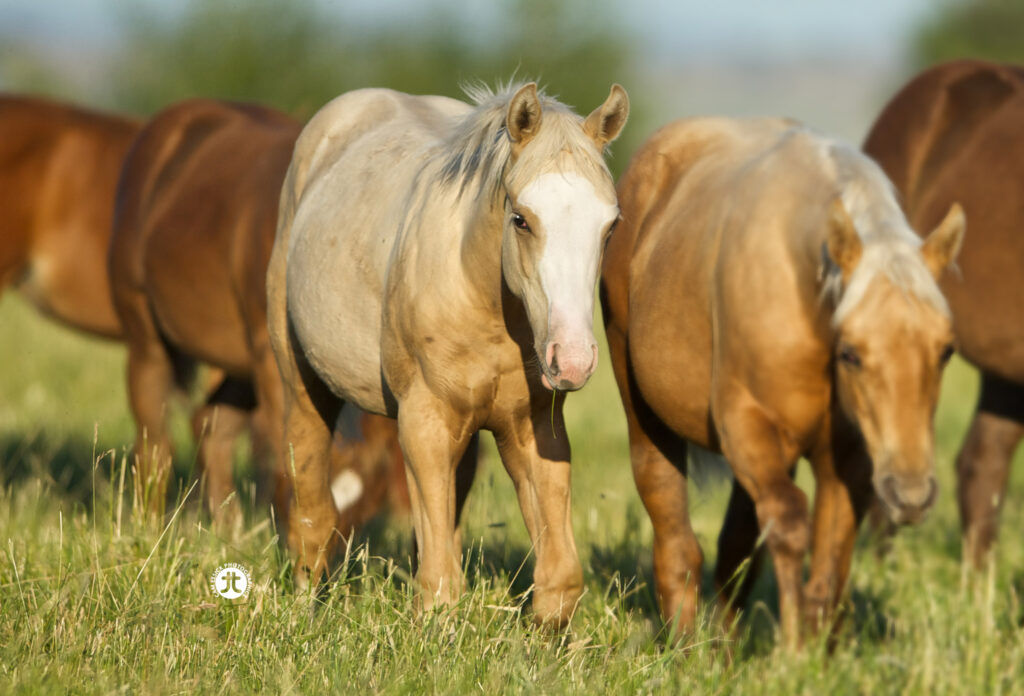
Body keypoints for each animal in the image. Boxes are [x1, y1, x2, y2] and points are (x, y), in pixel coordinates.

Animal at [108, 99, 407, 532]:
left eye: (369, 499)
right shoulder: (273, 358)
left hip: (239, 360)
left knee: (211, 427)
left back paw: (229, 530)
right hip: (149, 341)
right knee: (155, 444)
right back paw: (149, 527)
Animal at [267, 81, 628, 626]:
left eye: (609, 227)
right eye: (521, 219)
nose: (572, 360)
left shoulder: (532, 429)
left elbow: (559, 579)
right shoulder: (424, 421)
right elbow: (439, 586)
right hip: (303, 383)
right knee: (313, 510)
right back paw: (307, 606)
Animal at [601, 117, 964, 647]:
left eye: (946, 350)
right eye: (851, 354)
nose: (910, 496)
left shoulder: (847, 458)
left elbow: (829, 554)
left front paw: (817, 651)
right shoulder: (746, 426)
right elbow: (791, 524)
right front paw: (793, 652)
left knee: (735, 550)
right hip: (646, 413)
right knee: (676, 540)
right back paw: (684, 651)